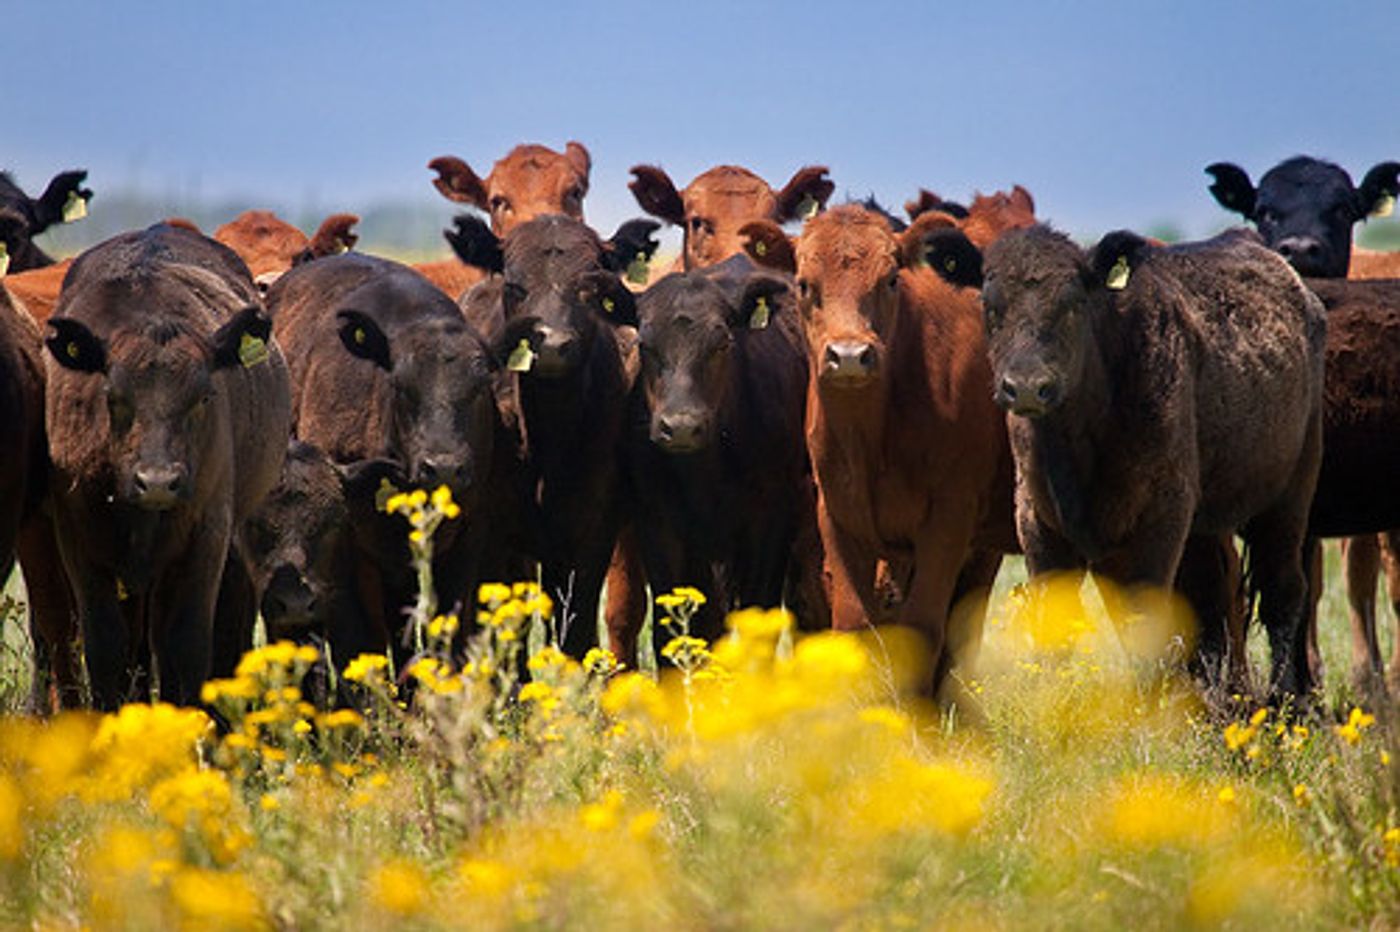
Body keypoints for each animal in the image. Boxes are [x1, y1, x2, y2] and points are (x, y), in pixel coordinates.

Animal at [43, 223, 291, 709]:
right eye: (113, 397)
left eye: (204, 397)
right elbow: (105, 645)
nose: (158, 482)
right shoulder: (77, 535)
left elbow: (188, 641)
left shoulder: (207, 534)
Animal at [266, 252, 506, 667]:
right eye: (400, 384)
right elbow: (365, 636)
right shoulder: (353, 547)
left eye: (480, 385)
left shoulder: (469, 533)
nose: (443, 467)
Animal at [450, 213, 658, 659]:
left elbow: (574, 631)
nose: (552, 345)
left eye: (592, 285)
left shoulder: (592, 534)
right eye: (514, 282)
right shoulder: (494, 535)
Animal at [742, 204, 1016, 700]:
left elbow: (921, 631)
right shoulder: (837, 515)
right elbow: (855, 626)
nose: (849, 355)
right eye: (804, 283)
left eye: (890, 280)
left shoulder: (948, 520)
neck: (870, 439)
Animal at [959, 224, 1325, 698]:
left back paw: (1285, 700)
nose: (1025, 386)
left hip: (1290, 493)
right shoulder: (1038, 523)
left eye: (1074, 303)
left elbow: (1147, 623)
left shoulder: (1159, 520)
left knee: (1284, 591)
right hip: (1205, 525)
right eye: (990, 306)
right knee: (1211, 599)